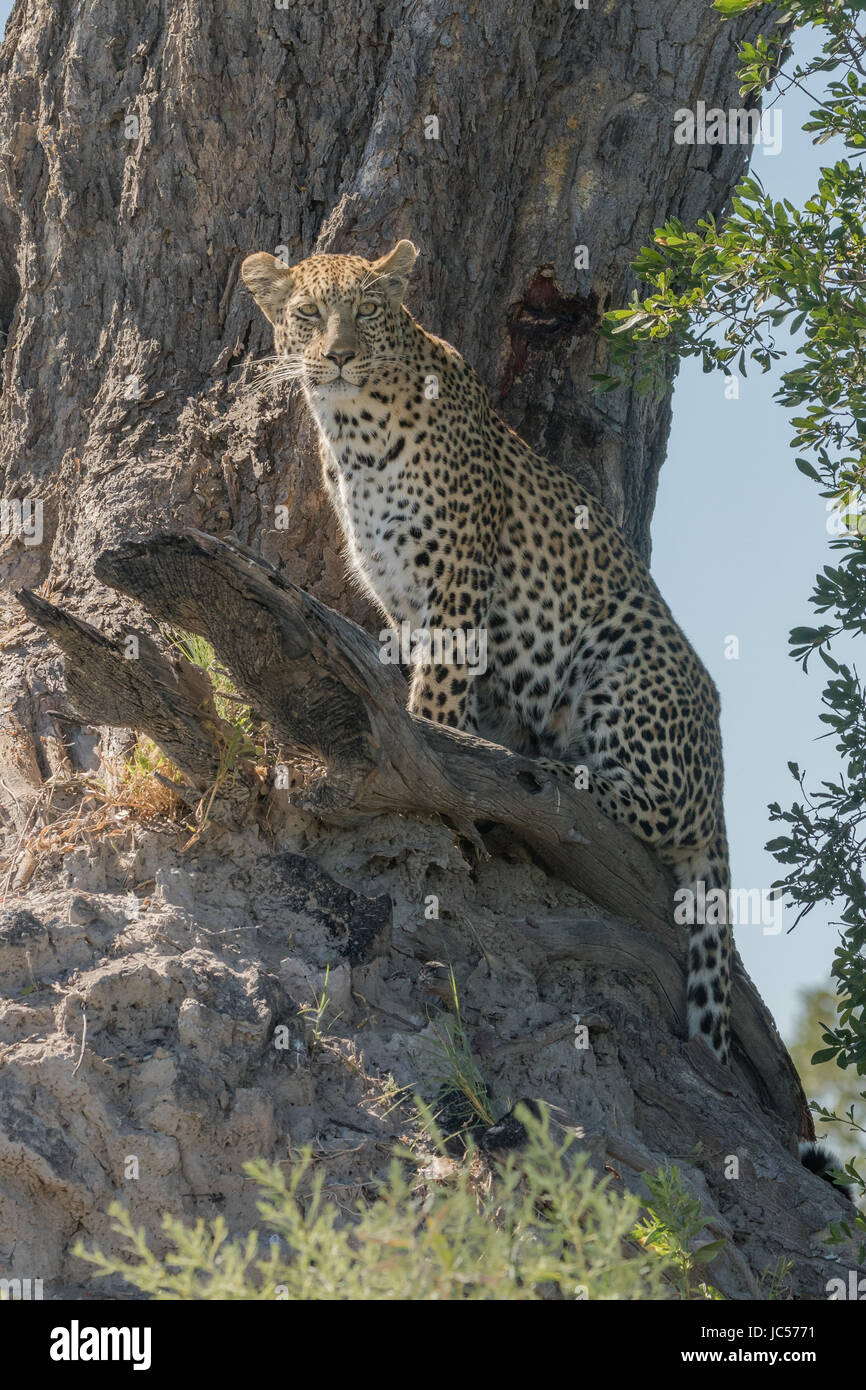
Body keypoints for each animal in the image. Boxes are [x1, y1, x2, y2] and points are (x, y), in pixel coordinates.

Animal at [242, 239, 733, 1064]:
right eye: (308, 314)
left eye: (366, 311)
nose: (338, 356)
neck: (351, 431)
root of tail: (723, 783)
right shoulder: (399, 592)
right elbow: (428, 678)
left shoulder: (457, 572)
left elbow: (438, 686)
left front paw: (439, 743)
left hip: (628, 661)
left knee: (657, 816)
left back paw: (556, 775)